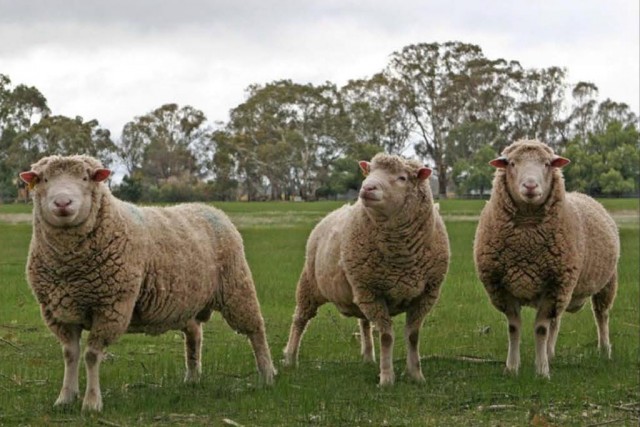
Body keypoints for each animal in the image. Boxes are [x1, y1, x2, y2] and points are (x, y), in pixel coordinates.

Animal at [19, 155, 276, 412]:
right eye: (44, 179)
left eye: (85, 178)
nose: (62, 203)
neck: (70, 269)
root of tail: (209, 208)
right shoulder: (60, 312)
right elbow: (70, 354)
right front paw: (65, 398)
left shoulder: (111, 307)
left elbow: (91, 355)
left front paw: (92, 403)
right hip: (187, 302)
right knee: (194, 334)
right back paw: (192, 378)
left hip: (236, 287)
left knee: (256, 330)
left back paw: (267, 375)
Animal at [283, 153, 450, 386]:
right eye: (369, 172)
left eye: (402, 178)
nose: (367, 188)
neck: (402, 258)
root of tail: (336, 211)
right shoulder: (373, 292)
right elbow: (387, 337)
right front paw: (387, 379)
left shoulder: (425, 294)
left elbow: (413, 336)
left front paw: (416, 375)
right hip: (311, 283)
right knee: (300, 319)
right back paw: (290, 358)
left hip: (358, 290)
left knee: (363, 322)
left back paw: (369, 357)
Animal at [473, 139, 619, 378]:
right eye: (512, 163)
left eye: (546, 164)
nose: (530, 186)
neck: (526, 242)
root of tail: (583, 194)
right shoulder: (504, 287)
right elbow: (514, 328)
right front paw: (512, 368)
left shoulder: (554, 284)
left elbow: (541, 329)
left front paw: (541, 371)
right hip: (564, 289)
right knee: (556, 322)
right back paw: (550, 353)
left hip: (605, 282)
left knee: (602, 315)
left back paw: (605, 350)